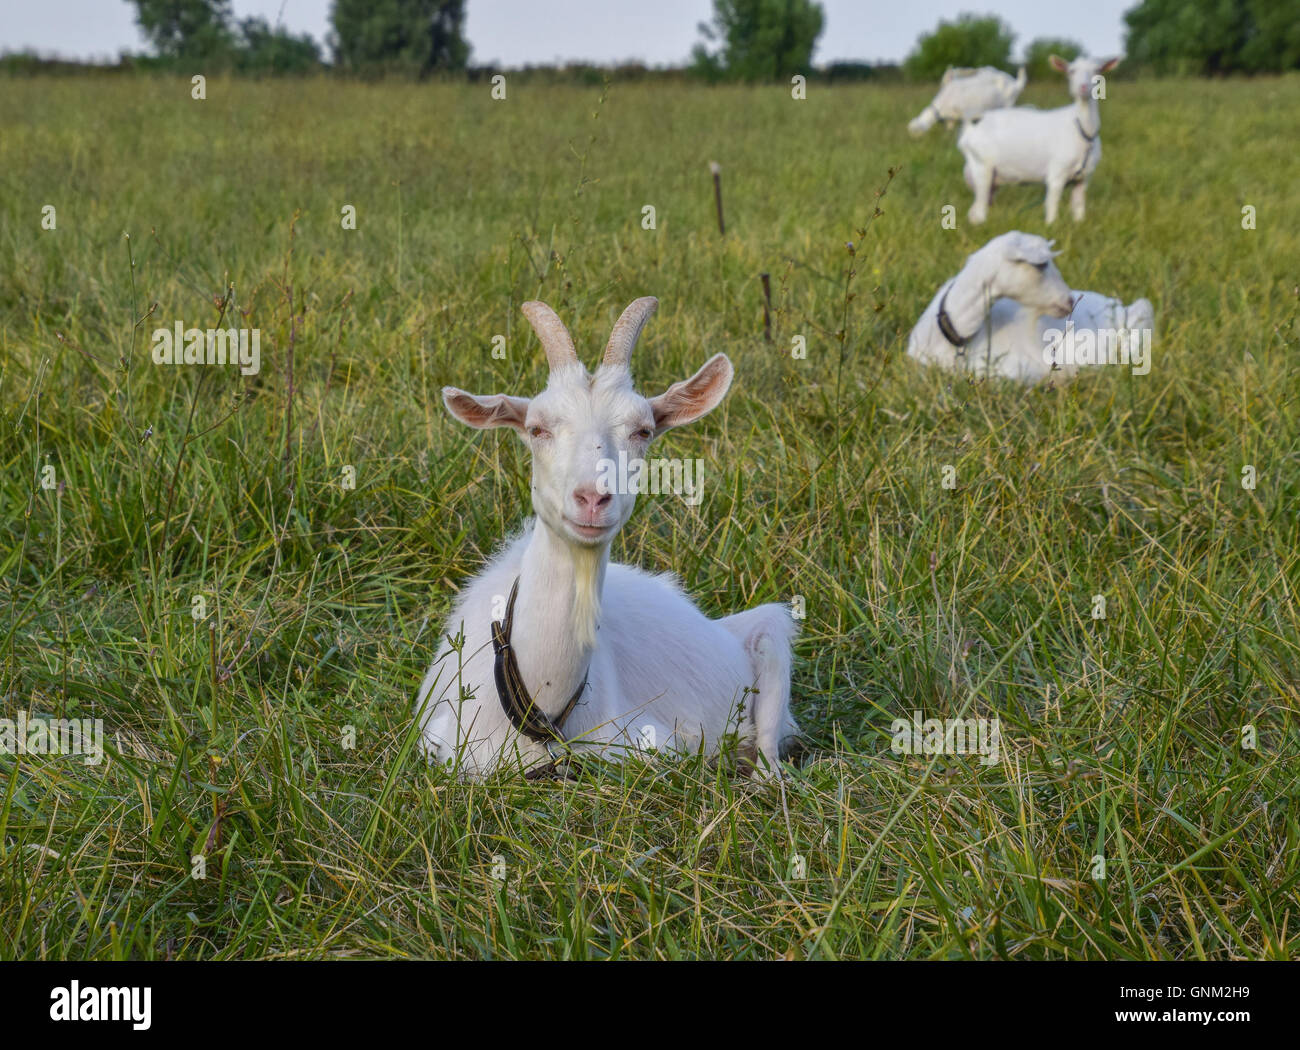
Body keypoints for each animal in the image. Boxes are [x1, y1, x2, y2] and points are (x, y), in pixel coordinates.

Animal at [416, 297, 799, 779]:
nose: (593, 498)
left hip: (771, 634)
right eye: (537, 428)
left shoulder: (651, 744)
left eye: (643, 430)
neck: (541, 709)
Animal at [957, 55, 1120, 224]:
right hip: (981, 165)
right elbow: (1052, 205)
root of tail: (970, 129)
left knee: (974, 211)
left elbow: (1079, 207)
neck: (1082, 129)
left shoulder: (1084, 178)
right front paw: (1051, 225)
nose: (1083, 87)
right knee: (979, 209)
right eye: (1071, 71)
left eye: (1097, 70)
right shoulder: (1057, 173)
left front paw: (1078, 224)